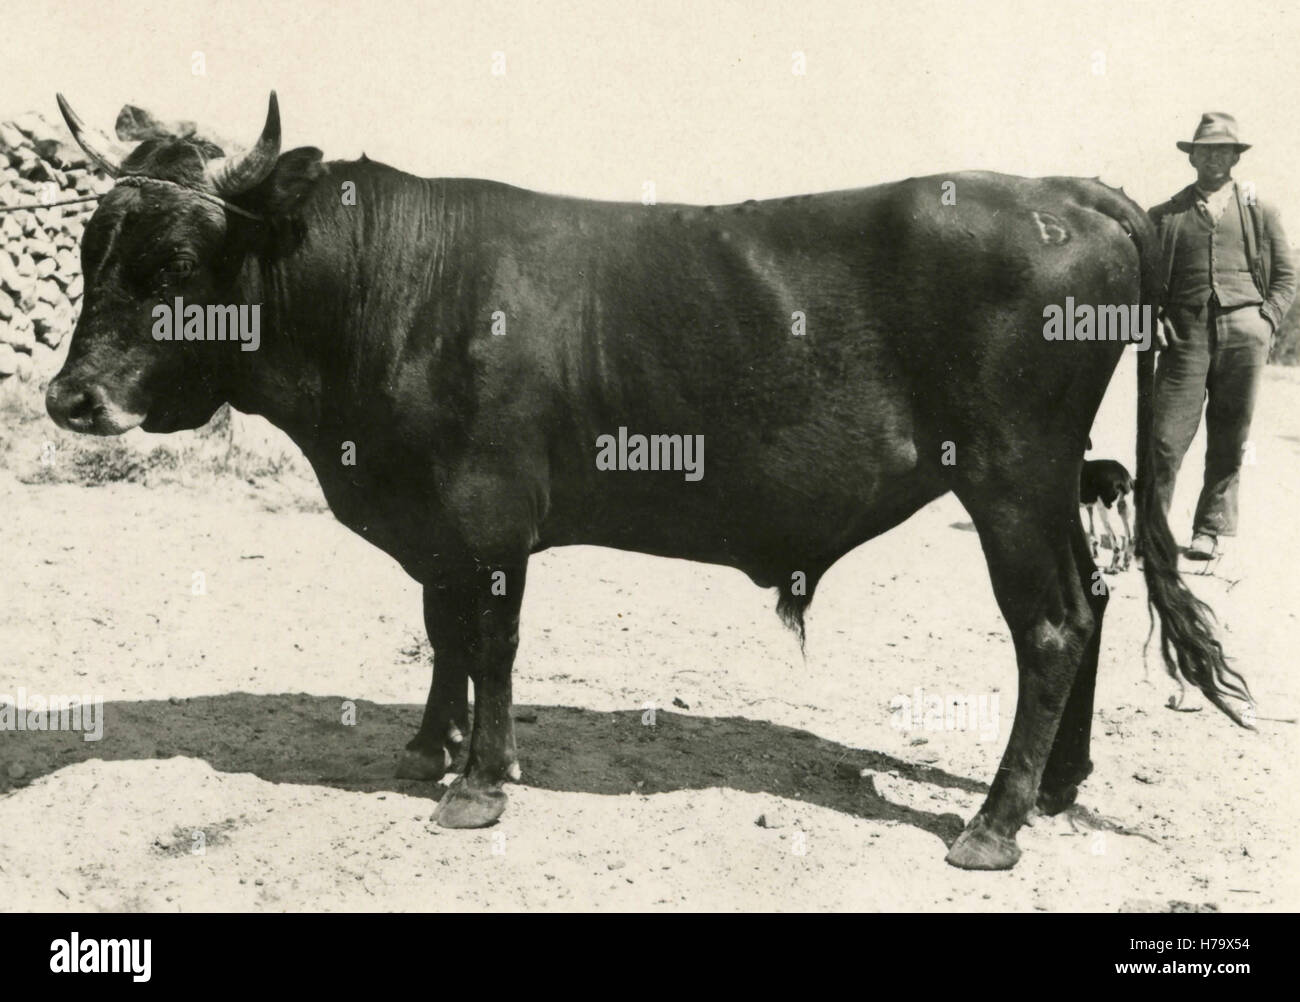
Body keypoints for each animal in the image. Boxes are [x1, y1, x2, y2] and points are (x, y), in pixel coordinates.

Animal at [45, 92, 1255, 870]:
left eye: (178, 264)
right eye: (92, 249)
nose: (69, 399)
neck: (397, 290)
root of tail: (1071, 190)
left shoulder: (489, 513)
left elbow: (489, 640)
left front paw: (479, 785)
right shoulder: (434, 522)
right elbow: (441, 630)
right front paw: (427, 748)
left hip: (1010, 472)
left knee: (1051, 623)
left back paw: (994, 825)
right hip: (1047, 478)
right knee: (1091, 600)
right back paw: (1056, 785)